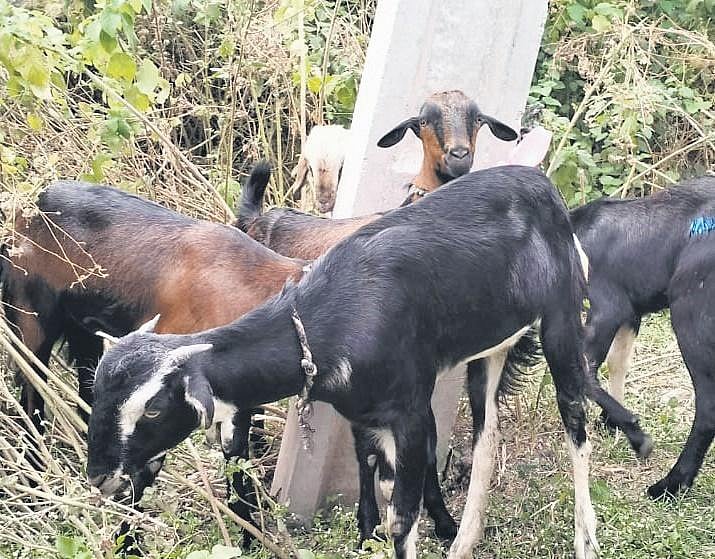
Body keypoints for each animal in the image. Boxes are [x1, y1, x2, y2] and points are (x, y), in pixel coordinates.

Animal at [0, 164, 303, 545]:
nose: (99, 476)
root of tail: (32, 202)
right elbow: (149, 466)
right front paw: (127, 541)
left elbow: (236, 459)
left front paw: (251, 537)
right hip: (31, 320)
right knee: (32, 398)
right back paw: (35, 489)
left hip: (84, 333)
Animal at [87, 165, 599, 559]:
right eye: (98, 393)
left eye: (153, 409)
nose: (100, 477)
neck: (328, 321)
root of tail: (541, 183)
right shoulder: (370, 417)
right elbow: (383, 488)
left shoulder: (409, 414)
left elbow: (401, 516)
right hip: (490, 349)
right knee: (487, 433)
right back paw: (464, 542)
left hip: (561, 322)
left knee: (576, 422)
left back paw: (585, 541)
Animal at [571, 175, 715, 498]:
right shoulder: (631, 314)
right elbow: (617, 363)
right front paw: (610, 421)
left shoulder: (608, 307)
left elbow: (585, 368)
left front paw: (636, 434)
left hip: (689, 315)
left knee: (708, 406)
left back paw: (671, 484)